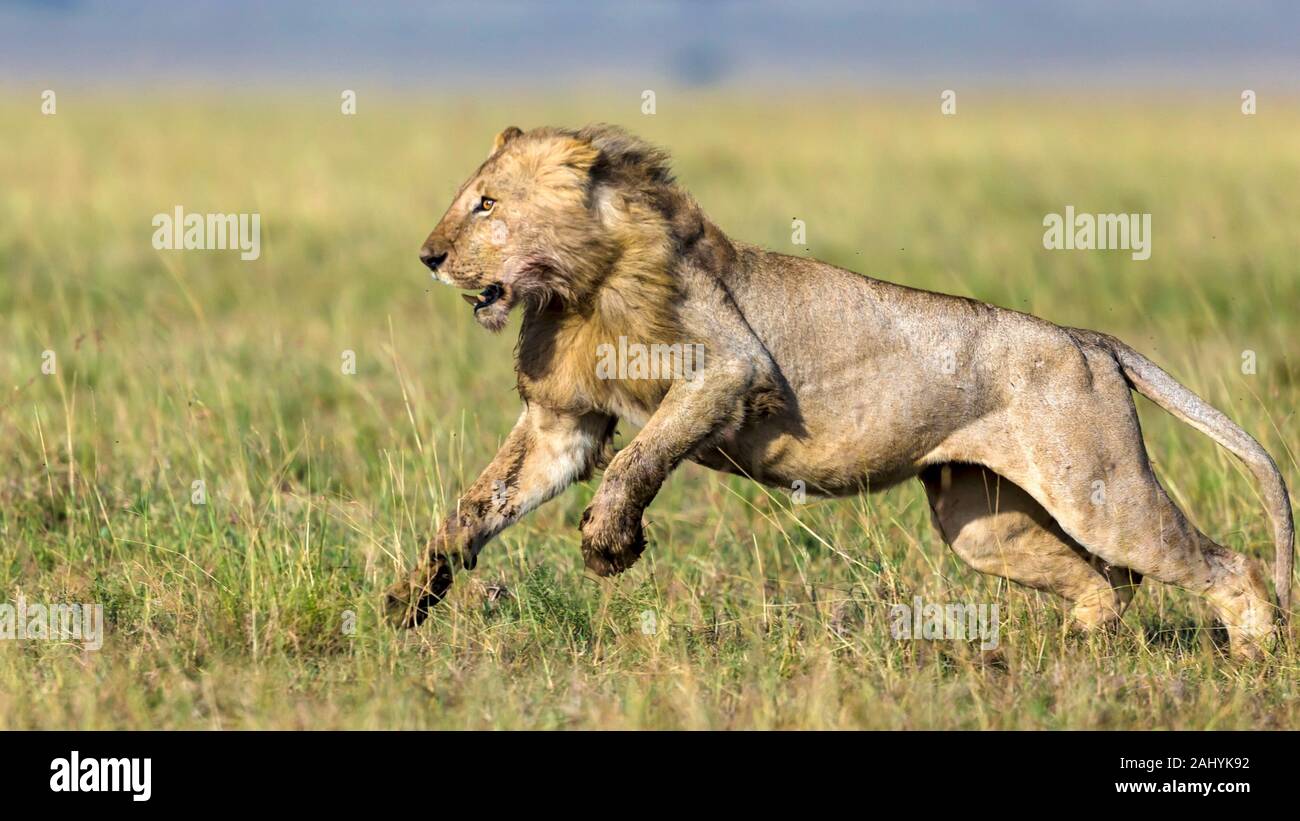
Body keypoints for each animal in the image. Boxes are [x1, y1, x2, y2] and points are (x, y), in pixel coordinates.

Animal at [386, 124, 1293, 658]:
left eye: (486, 204)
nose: (427, 257)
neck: (578, 286)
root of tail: (1087, 337)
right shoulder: (561, 421)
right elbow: (474, 508)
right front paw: (406, 601)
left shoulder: (730, 367)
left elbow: (640, 457)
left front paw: (609, 545)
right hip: (979, 520)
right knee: (1106, 583)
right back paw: (1068, 654)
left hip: (1100, 489)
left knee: (1226, 563)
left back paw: (1254, 654)